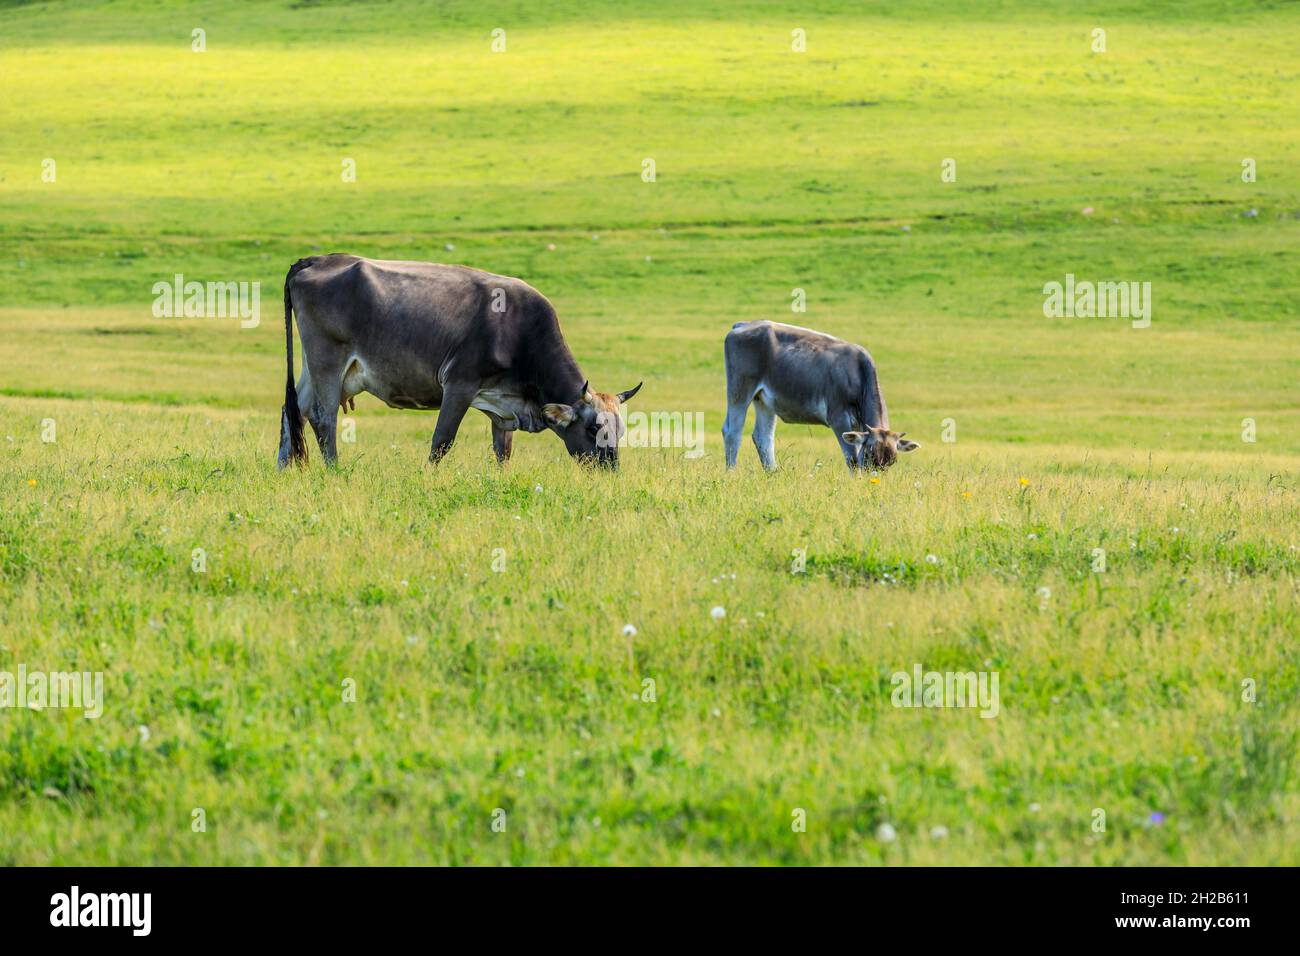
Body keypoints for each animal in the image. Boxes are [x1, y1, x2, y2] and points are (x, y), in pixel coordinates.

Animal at [277, 255, 641, 469]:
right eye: (593, 428)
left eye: (620, 430)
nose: (611, 467)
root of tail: (315, 260)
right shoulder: (459, 383)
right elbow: (442, 441)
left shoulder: (503, 407)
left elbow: (503, 451)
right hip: (327, 359)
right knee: (323, 418)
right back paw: (336, 473)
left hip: (315, 368)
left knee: (294, 412)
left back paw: (285, 471)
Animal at [722, 320, 919, 472]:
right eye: (870, 455)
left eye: (892, 462)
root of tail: (743, 325)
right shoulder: (838, 418)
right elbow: (853, 460)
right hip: (740, 388)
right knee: (733, 431)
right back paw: (731, 472)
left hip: (765, 399)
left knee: (763, 437)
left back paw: (772, 473)